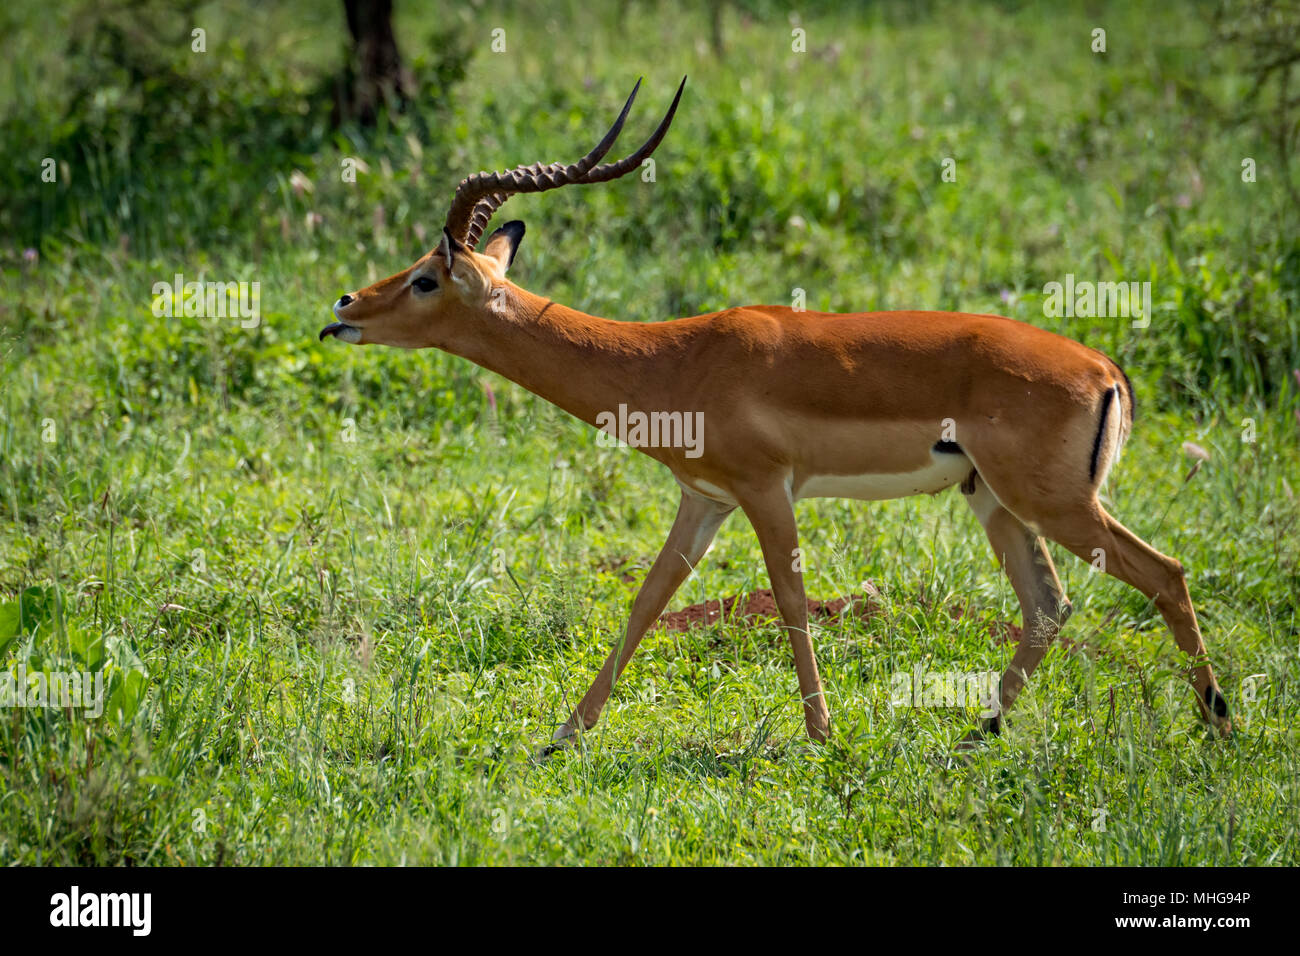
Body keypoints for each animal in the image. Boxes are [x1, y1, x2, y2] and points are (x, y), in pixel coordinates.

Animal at [320, 79, 1231, 753]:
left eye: (427, 278)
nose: (343, 308)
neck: (676, 359)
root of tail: (1105, 370)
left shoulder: (767, 491)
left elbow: (790, 599)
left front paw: (822, 734)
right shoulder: (704, 497)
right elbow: (646, 600)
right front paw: (564, 735)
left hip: (1056, 502)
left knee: (1164, 574)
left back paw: (1218, 723)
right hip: (994, 501)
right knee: (1048, 606)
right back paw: (980, 731)